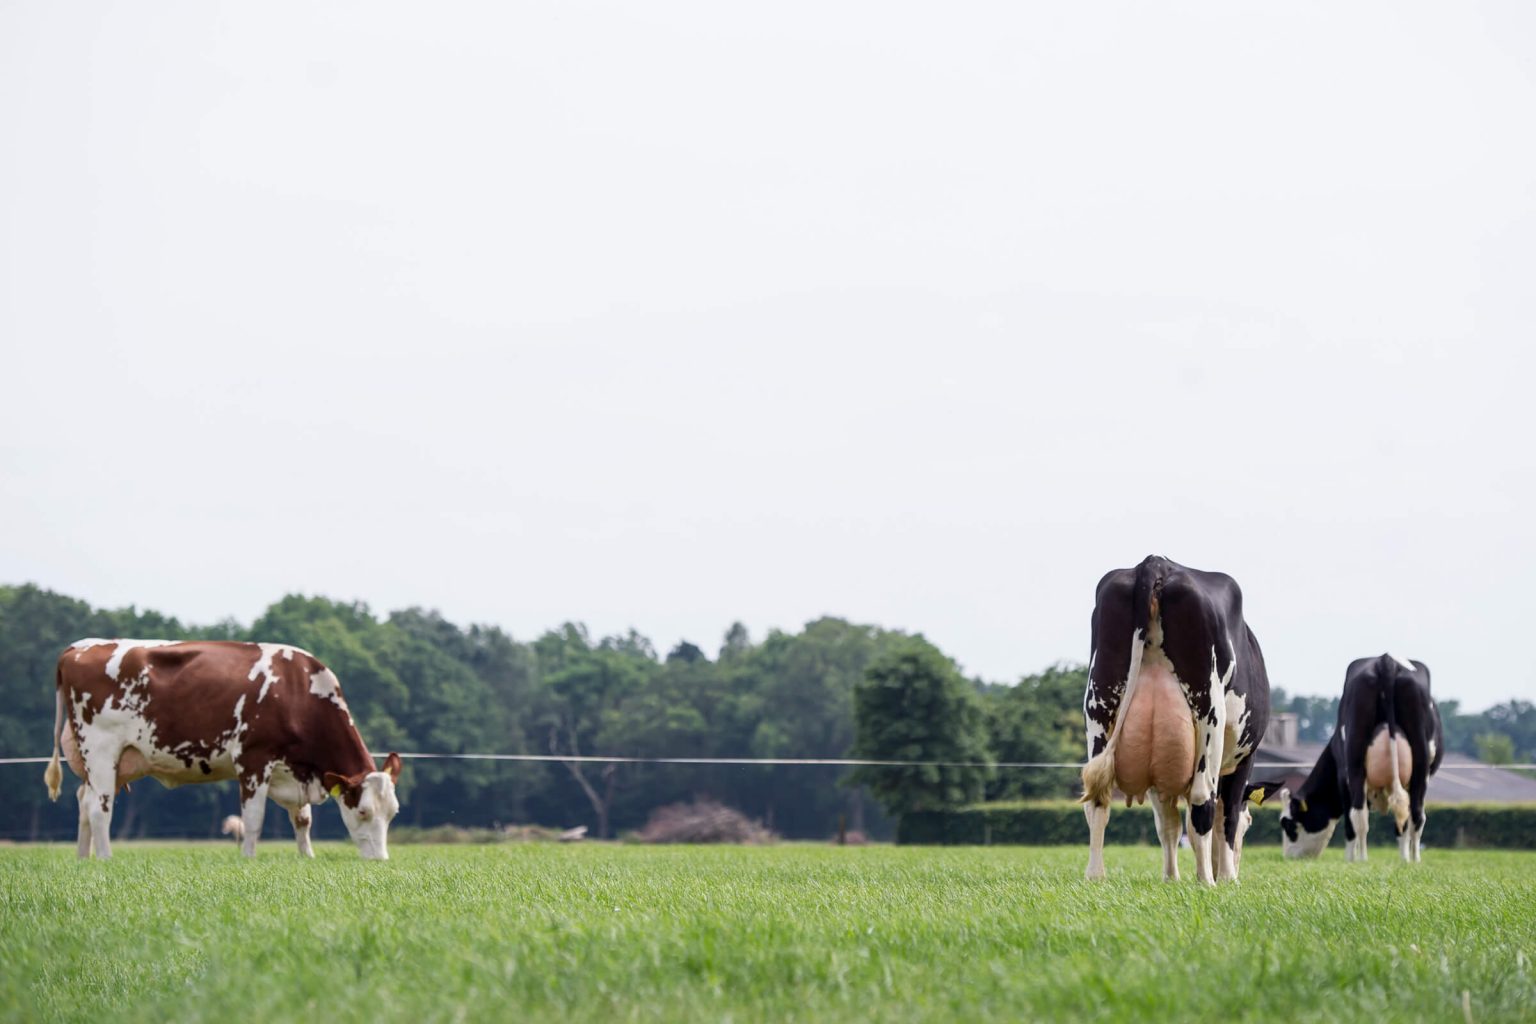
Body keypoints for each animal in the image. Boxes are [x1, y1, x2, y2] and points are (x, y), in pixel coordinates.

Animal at [43, 639, 403, 860]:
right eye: (362, 812)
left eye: (393, 814)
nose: (381, 861)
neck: (297, 692)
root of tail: (79, 647)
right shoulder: (254, 760)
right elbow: (253, 819)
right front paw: (248, 860)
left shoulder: (292, 770)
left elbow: (302, 819)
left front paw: (307, 857)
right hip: (101, 751)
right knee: (98, 809)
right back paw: (105, 859)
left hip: (109, 763)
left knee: (83, 802)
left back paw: (83, 859)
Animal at [1080, 555, 1271, 884]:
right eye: (1251, 825)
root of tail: (1156, 563)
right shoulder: (1244, 758)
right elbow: (1227, 816)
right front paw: (1227, 877)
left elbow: (1168, 824)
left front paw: (1171, 878)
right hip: (1210, 712)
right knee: (1203, 800)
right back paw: (1207, 881)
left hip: (1099, 705)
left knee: (1097, 799)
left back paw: (1095, 876)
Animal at [1275, 653, 1442, 862]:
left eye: (1288, 825)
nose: (1288, 856)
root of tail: (1386, 660)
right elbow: (1398, 824)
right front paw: (1402, 858)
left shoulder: (1341, 775)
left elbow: (1351, 823)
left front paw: (1351, 857)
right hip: (1416, 764)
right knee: (1413, 814)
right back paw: (1410, 860)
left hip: (1356, 764)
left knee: (1363, 815)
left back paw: (1366, 859)